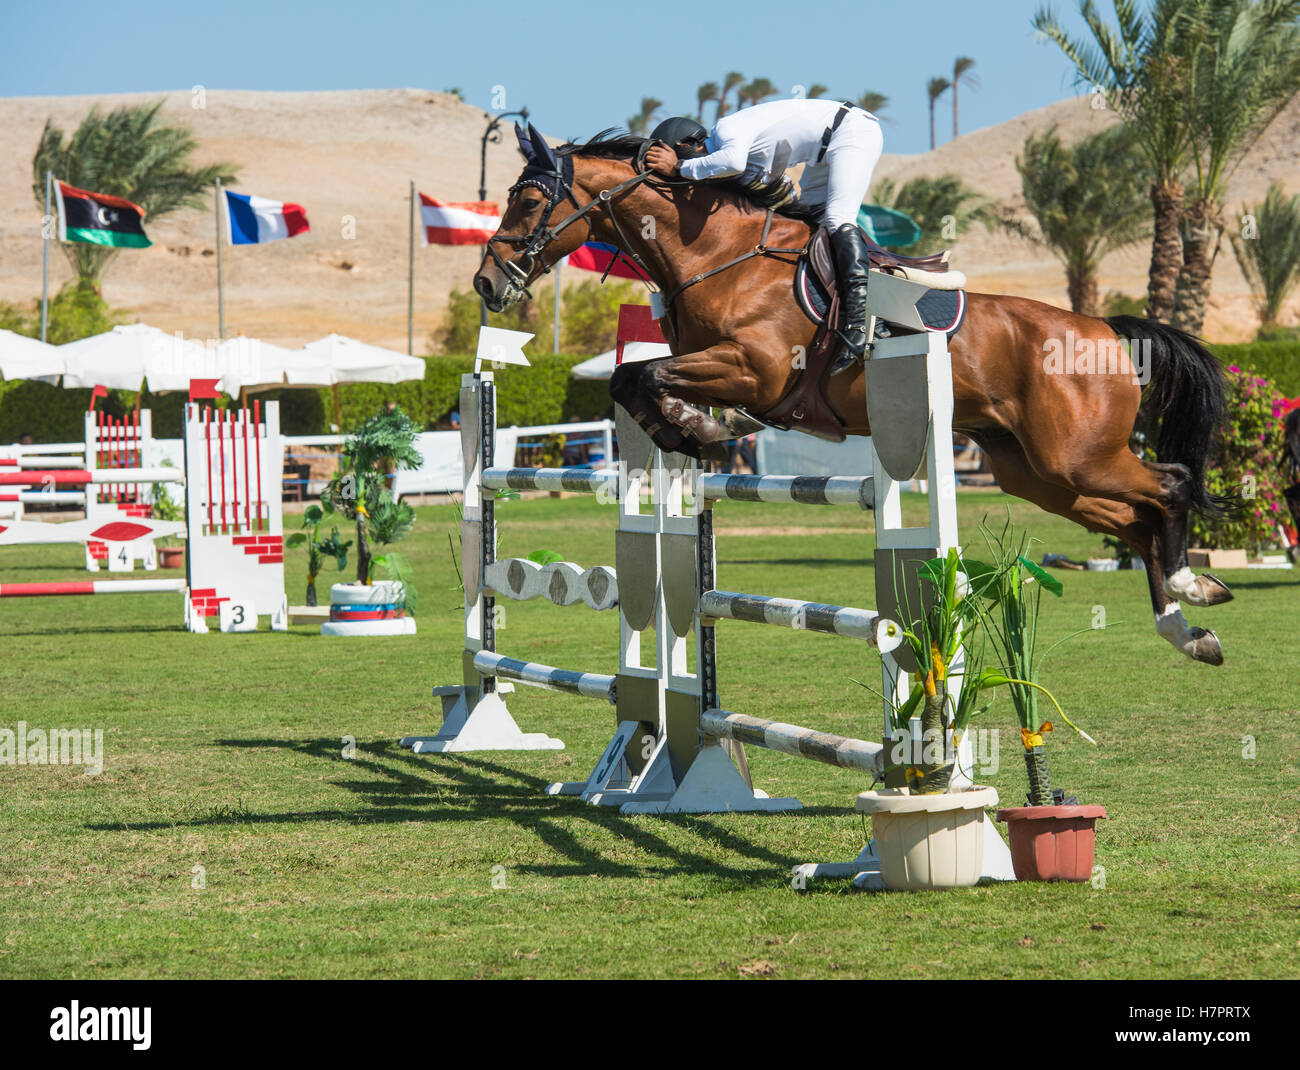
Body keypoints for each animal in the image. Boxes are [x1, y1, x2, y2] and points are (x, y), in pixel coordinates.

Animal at [473, 127, 1234, 665]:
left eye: (531, 200)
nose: (488, 282)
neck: (716, 254)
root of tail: (1102, 328)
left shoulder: (754, 370)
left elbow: (640, 377)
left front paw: (691, 430)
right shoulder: (720, 367)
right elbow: (633, 379)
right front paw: (694, 430)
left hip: (1077, 456)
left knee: (1168, 486)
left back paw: (1191, 589)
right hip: (1036, 473)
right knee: (1133, 518)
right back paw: (1190, 626)